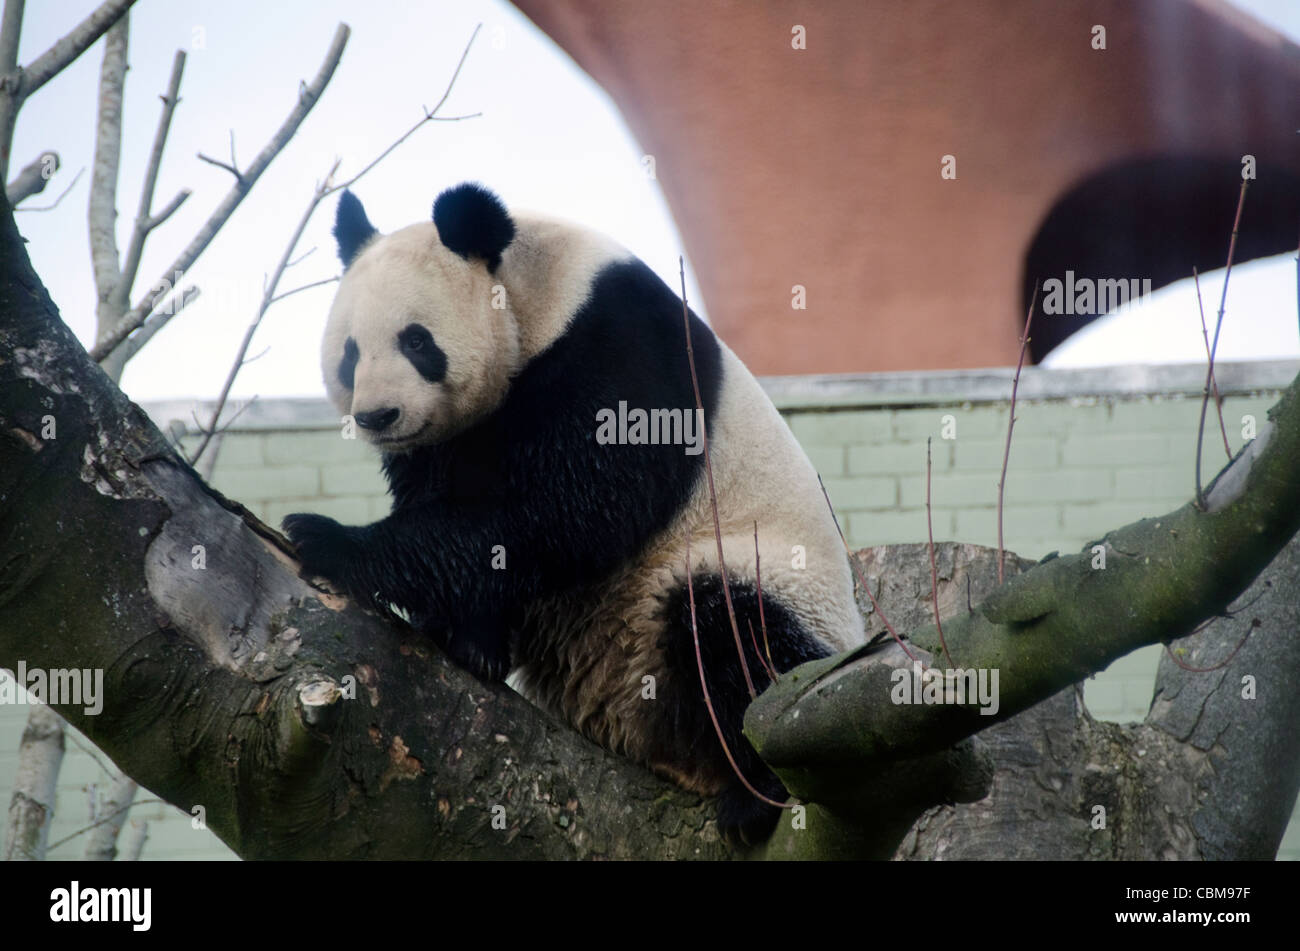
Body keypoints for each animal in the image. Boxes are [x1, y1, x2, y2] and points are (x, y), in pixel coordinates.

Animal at [283, 183, 864, 845]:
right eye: (350, 353)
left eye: (416, 341)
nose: (377, 416)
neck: (540, 301)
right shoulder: (456, 438)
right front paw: (470, 637)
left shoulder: (620, 348)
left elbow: (573, 511)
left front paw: (329, 539)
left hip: (772, 584)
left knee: (734, 632)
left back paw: (755, 793)